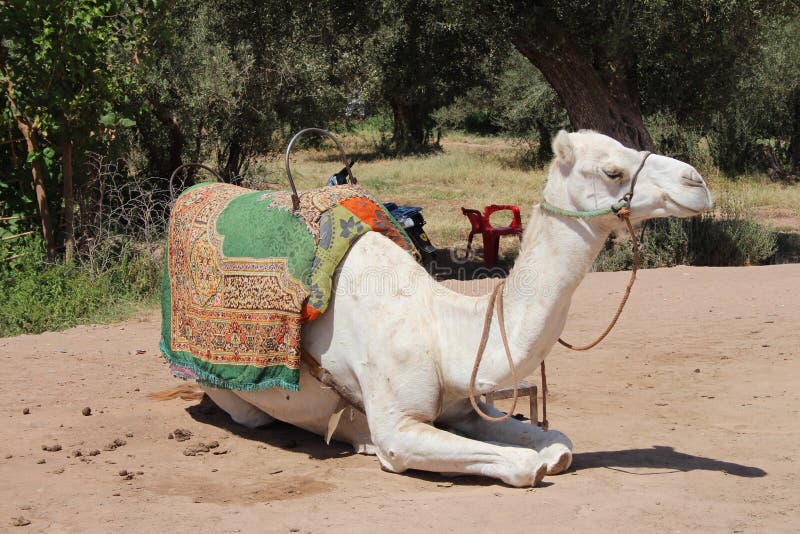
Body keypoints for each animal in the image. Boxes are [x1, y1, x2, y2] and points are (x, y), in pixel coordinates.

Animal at [184, 130, 714, 487]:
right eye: (611, 170)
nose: (697, 181)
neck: (442, 330)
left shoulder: (468, 407)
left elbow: (559, 445)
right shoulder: (400, 427)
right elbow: (525, 465)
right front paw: (366, 436)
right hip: (223, 390)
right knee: (250, 413)